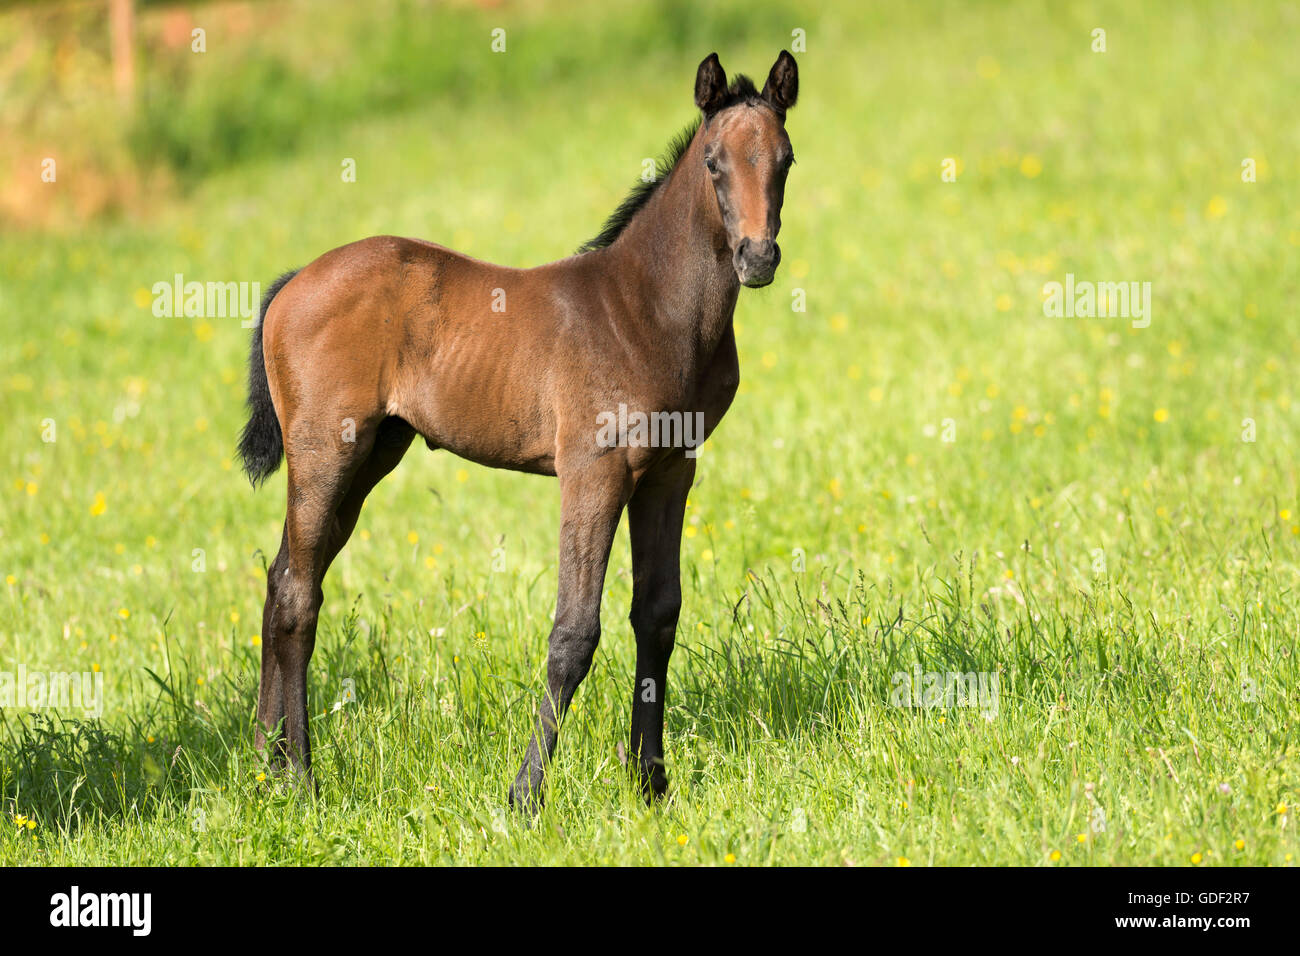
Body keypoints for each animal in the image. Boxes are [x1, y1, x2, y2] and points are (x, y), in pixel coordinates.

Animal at [237, 50, 798, 812]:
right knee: (298, 596)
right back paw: (300, 777)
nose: (757, 258)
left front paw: (650, 782)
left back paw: (265, 764)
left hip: (374, 454)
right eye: (713, 162)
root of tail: (293, 283)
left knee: (283, 578)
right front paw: (525, 794)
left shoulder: (670, 472)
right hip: (328, 452)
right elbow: (574, 633)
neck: (646, 310)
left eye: (786, 159)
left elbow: (658, 614)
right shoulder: (594, 473)